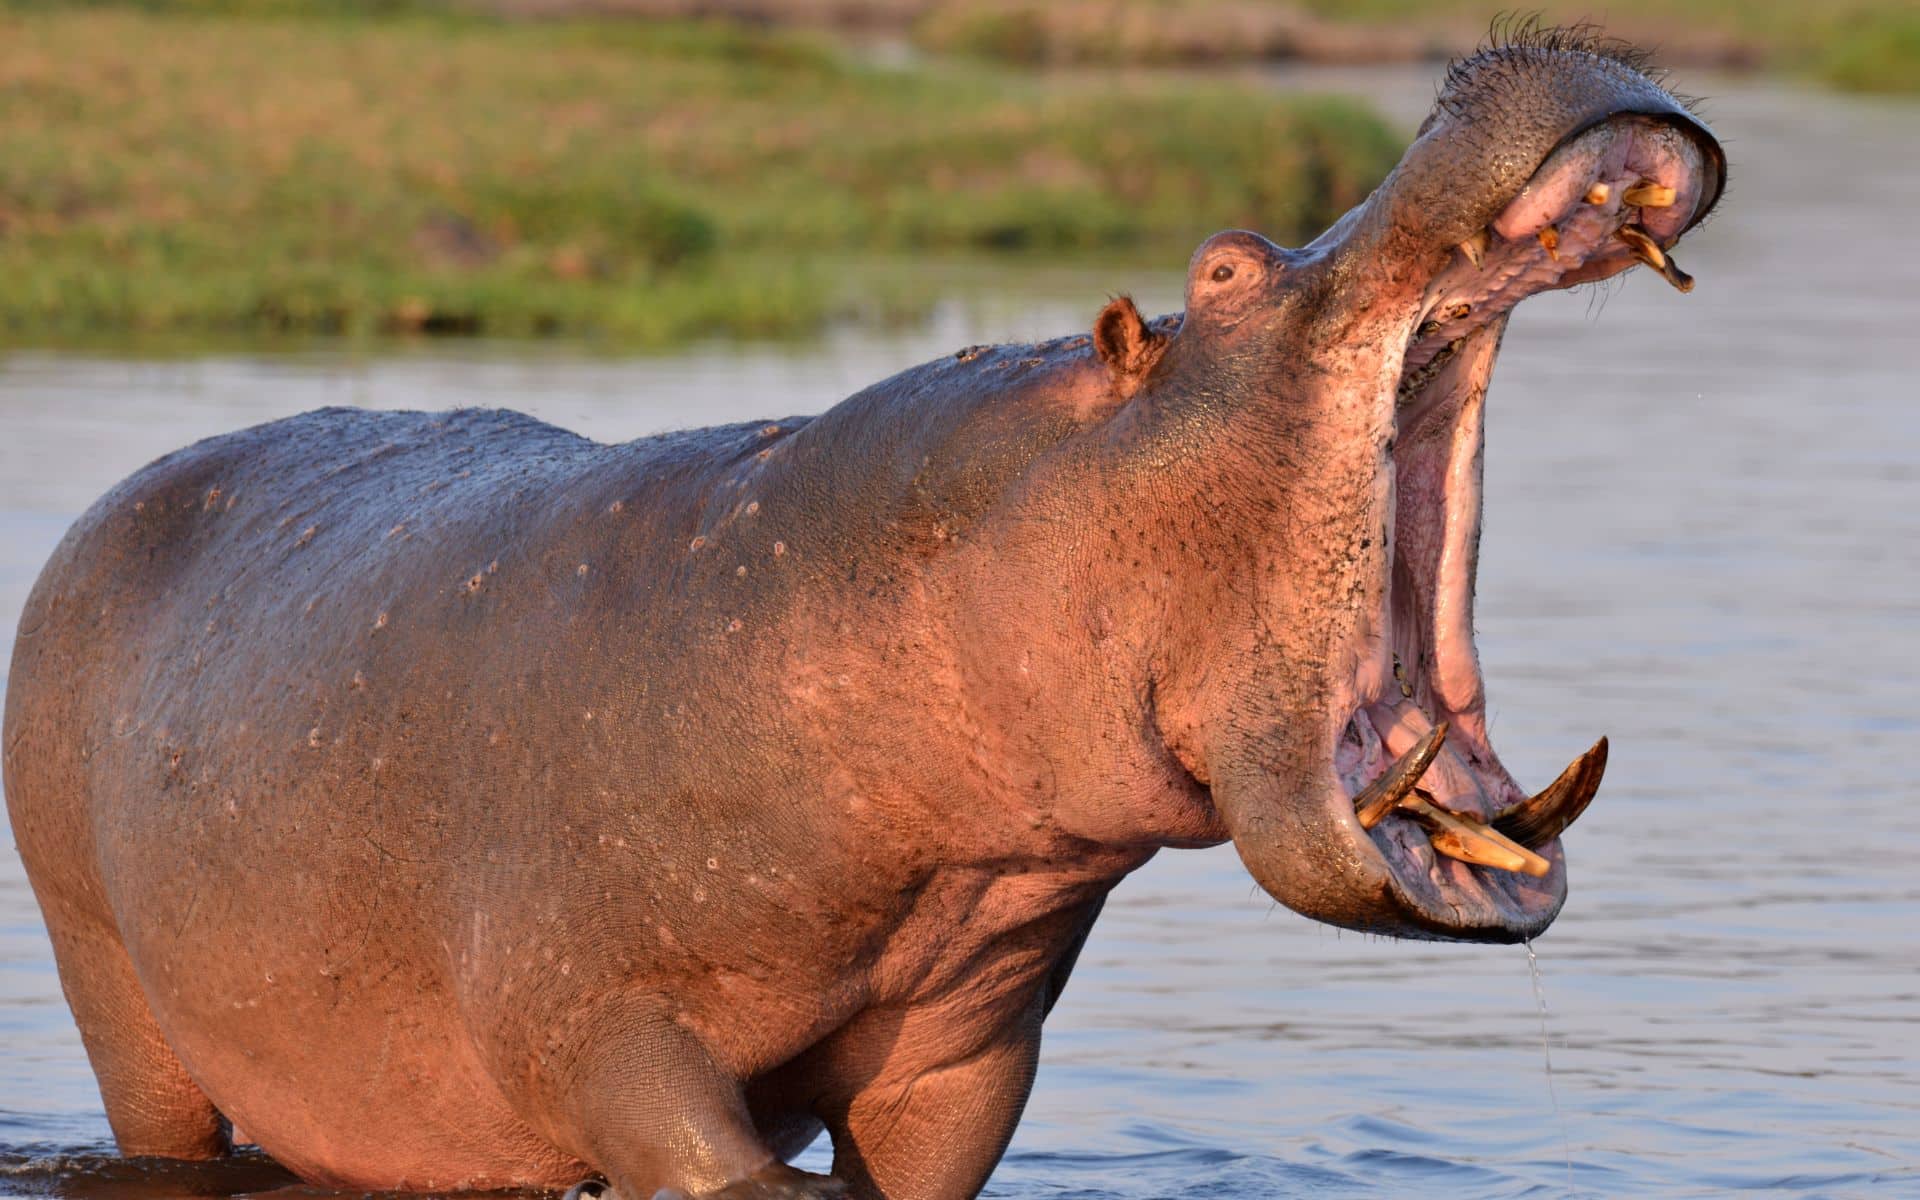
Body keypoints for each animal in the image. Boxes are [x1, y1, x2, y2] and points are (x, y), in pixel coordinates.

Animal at [3, 28, 1722, 1200]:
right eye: (1227, 267)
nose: (1520, 50)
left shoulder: (962, 1061)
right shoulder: (602, 1030)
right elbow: (718, 1160)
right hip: (113, 984)